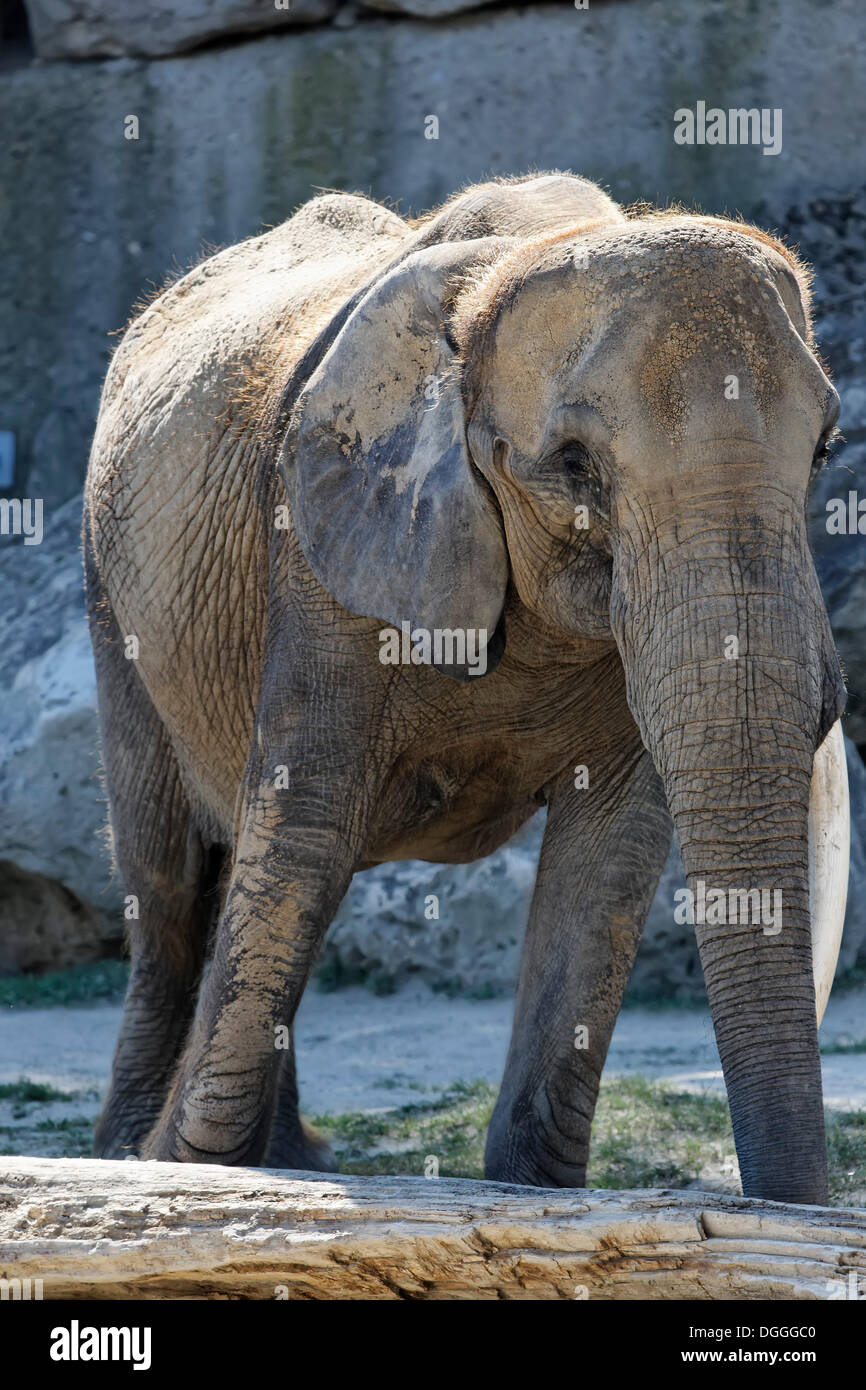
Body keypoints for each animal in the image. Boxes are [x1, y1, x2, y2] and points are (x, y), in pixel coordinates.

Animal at [84, 170, 849, 1204]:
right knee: (172, 884)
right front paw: (189, 1172)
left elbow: (610, 858)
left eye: (825, 450)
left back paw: (285, 1160)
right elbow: (306, 823)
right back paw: (130, 1153)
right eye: (574, 466)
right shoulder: (322, 546)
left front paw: (534, 1193)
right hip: (111, 603)